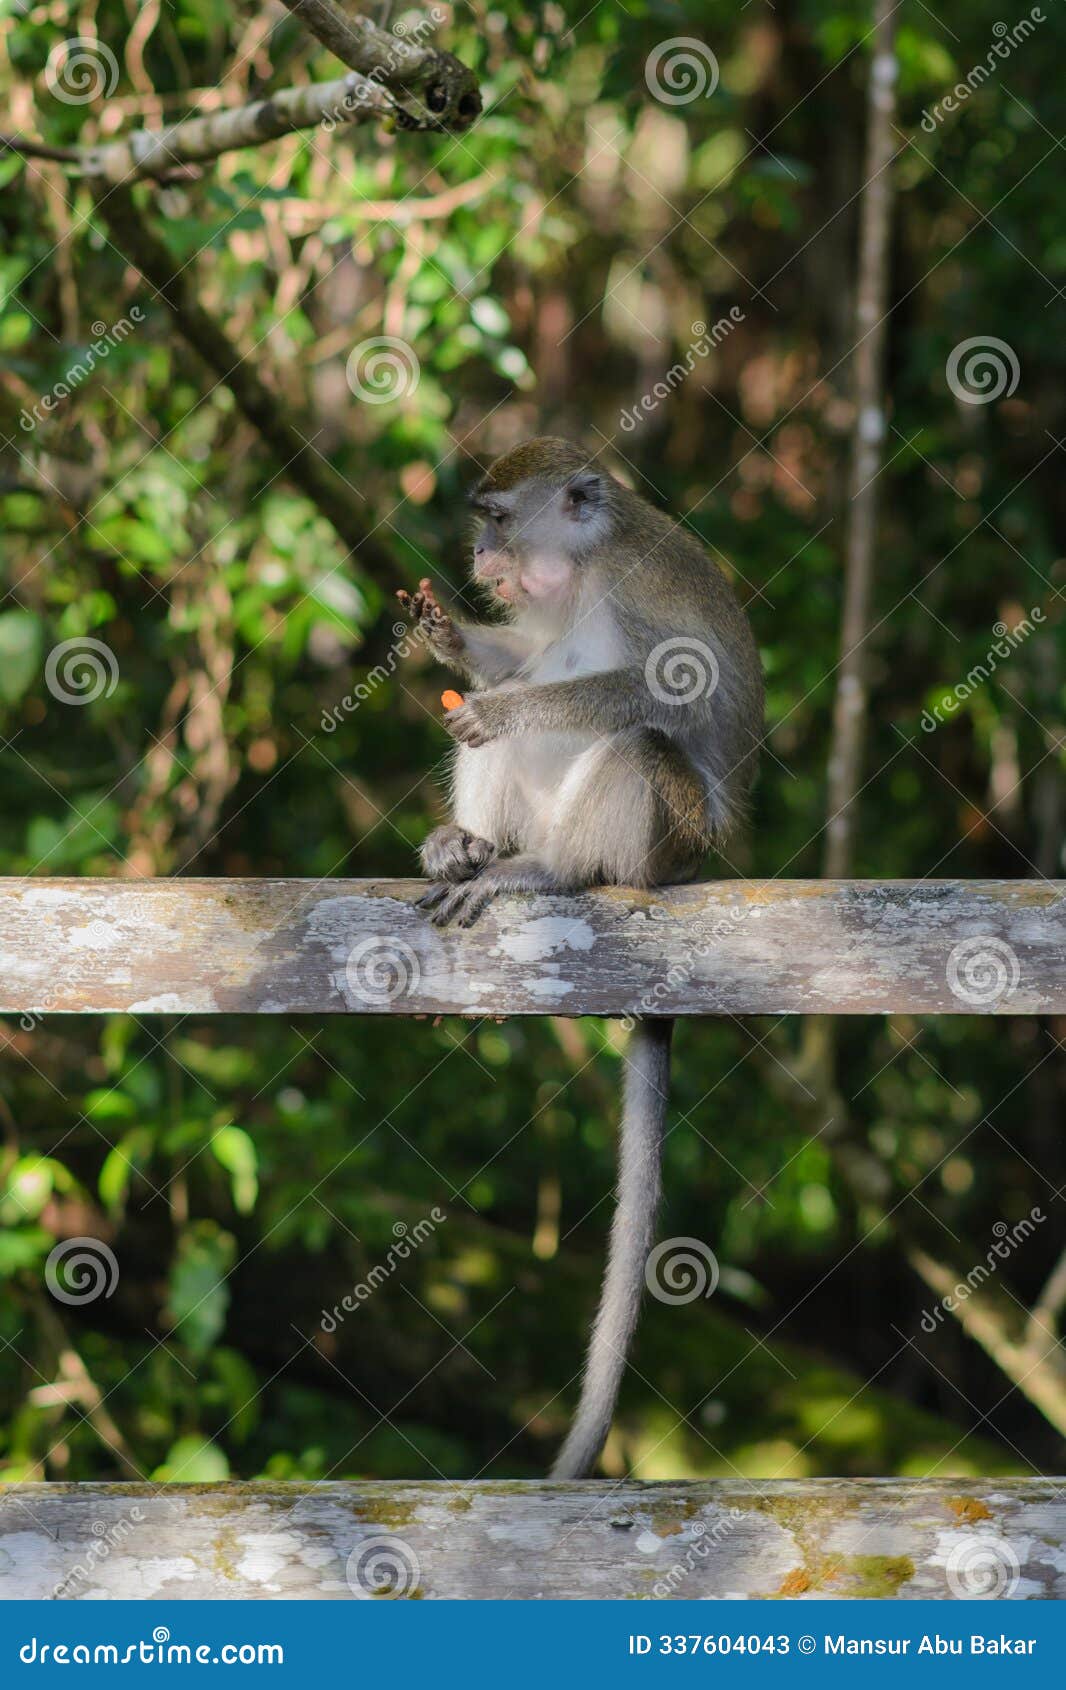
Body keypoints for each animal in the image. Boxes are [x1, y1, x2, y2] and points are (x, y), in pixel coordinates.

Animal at [397, 437, 763, 1479]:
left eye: (497, 517)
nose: (480, 555)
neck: (588, 564)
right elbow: (514, 659)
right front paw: (450, 639)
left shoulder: (639, 596)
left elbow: (663, 686)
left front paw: (515, 702)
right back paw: (471, 846)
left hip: (663, 844)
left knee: (636, 745)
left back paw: (545, 872)